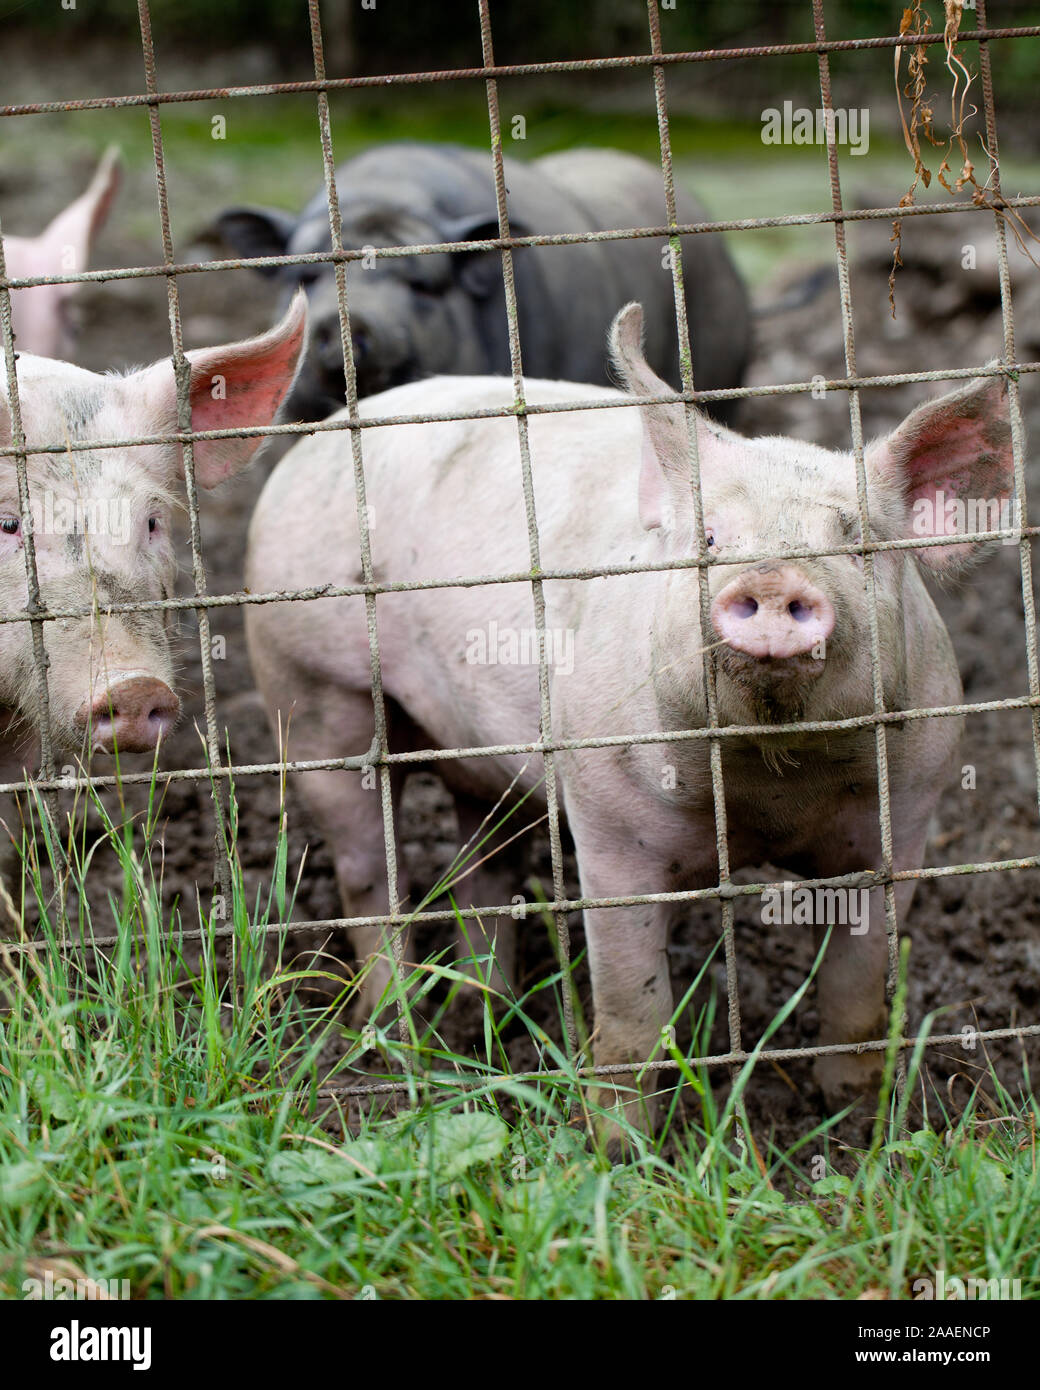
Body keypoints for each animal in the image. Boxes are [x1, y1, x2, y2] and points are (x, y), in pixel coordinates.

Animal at [244, 302, 1014, 1153]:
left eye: (857, 540)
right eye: (709, 539)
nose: (773, 576)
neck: (772, 784)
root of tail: (318, 440)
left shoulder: (902, 820)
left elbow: (858, 1000)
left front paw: (857, 1132)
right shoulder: (608, 822)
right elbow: (632, 1016)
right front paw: (622, 1152)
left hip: (483, 759)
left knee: (485, 864)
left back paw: (486, 1014)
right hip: (310, 684)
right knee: (366, 866)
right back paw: (396, 1029)